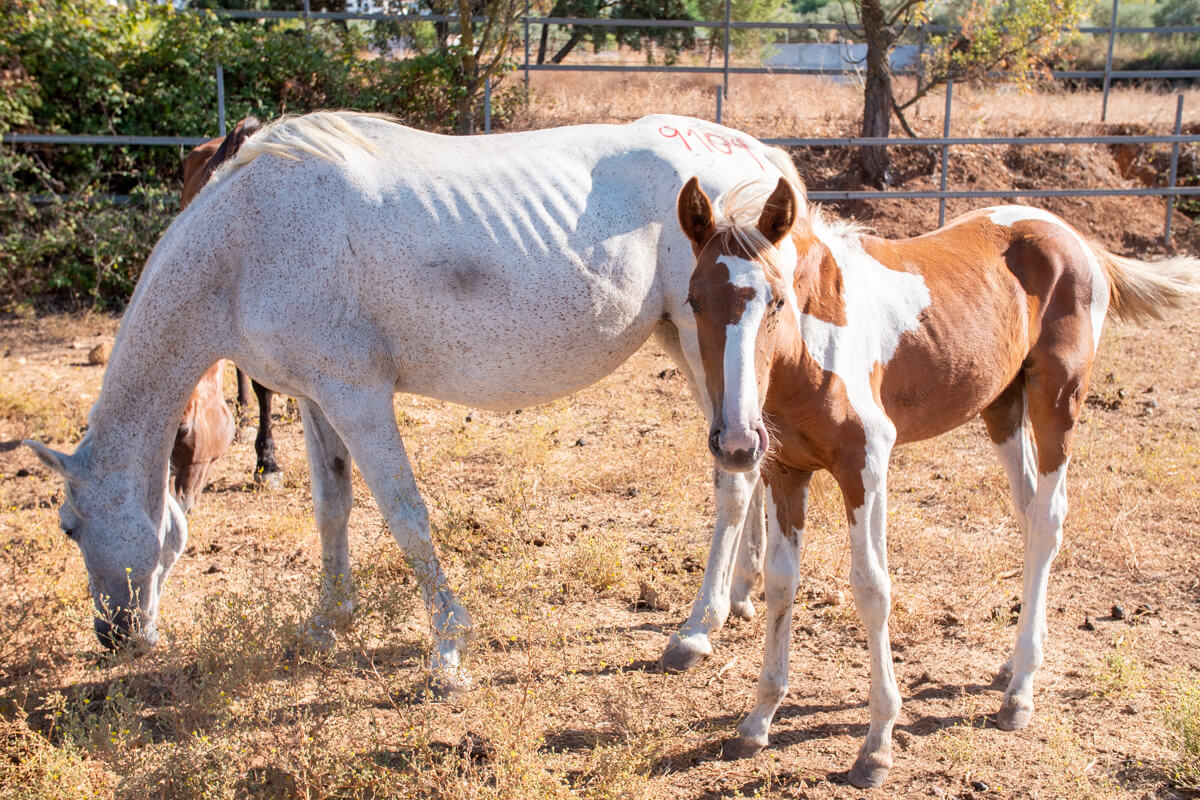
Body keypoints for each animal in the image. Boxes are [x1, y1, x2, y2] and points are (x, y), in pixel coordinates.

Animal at [676, 175, 1200, 787]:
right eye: (694, 300)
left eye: (777, 300)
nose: (736, 442)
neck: (809, 348)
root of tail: (1074, 236)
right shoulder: (786, 470)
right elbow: (782, 584)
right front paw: (758, 721)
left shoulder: (866, 462)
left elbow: (871, 588)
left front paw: (877, 745)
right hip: (1002, 405)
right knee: (1027, 514)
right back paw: (1012, 666)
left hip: (1058, 400)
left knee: (1048, 520)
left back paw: (1020, 694)